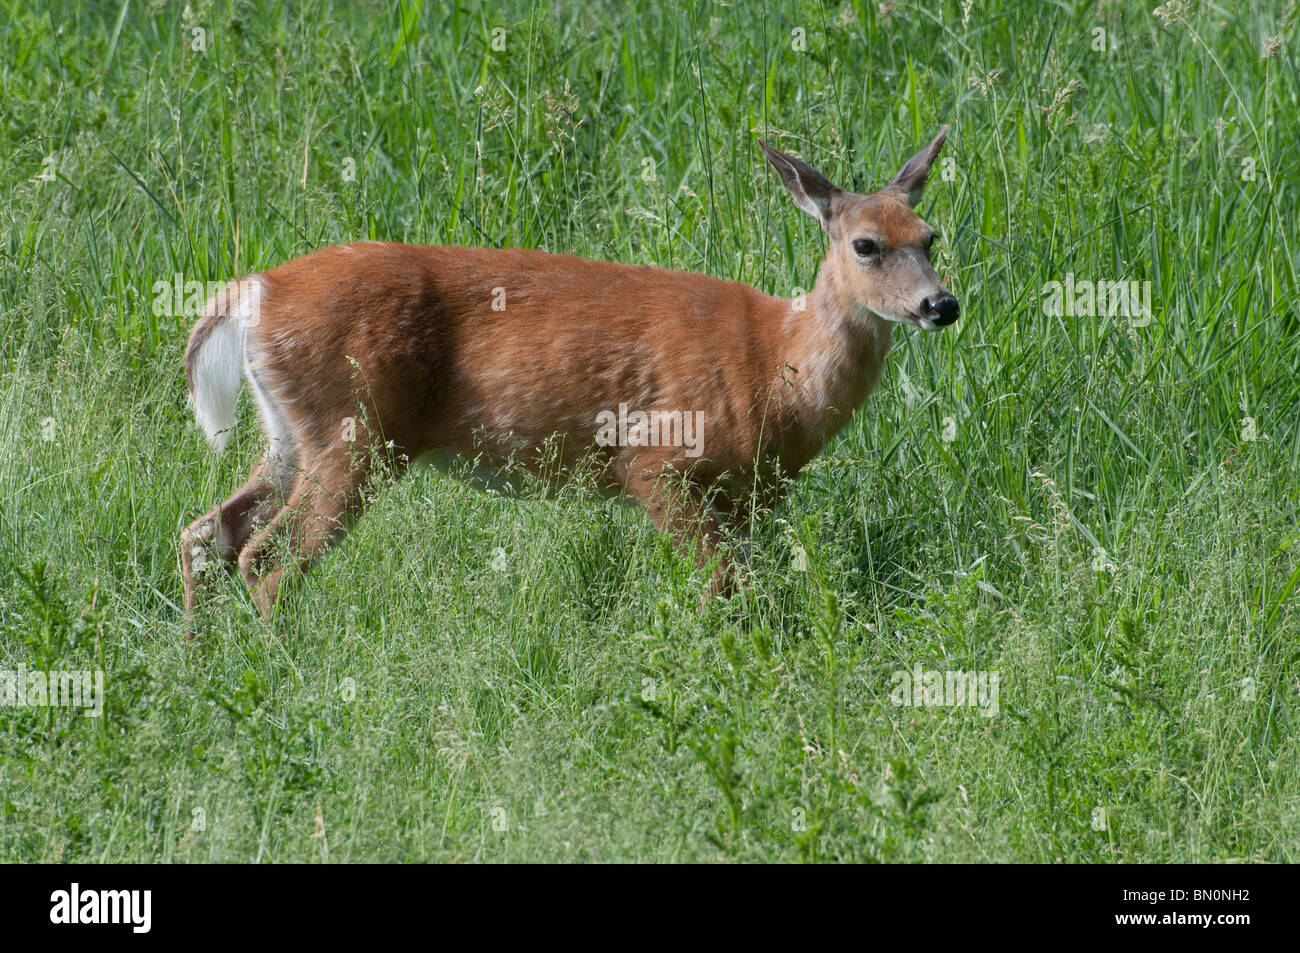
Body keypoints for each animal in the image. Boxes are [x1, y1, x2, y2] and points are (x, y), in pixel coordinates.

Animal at [180, 127, 958, 619]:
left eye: (930, 237)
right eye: (866, 244)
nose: (941, 304)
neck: (772, 366)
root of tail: (255, 290)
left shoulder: (747, 495)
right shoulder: (655, 459)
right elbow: (722, 581)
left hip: (292, 430)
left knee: (206, 532)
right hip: (355, 432)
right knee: (265, 562)